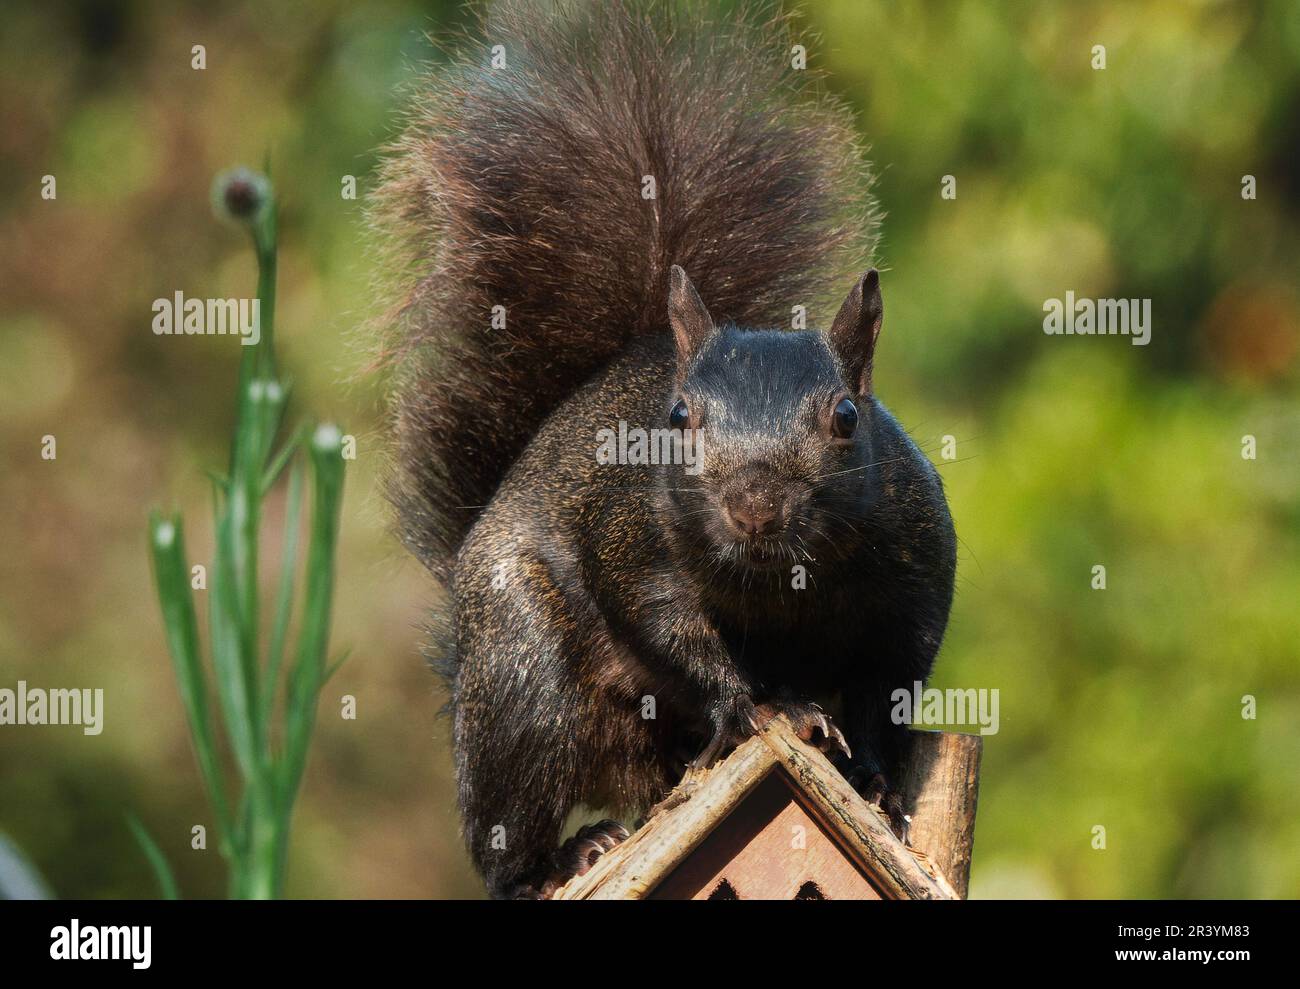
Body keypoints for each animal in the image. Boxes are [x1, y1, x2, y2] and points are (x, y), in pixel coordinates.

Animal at [374, 0, 957, 899]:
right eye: (678, 416)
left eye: (847, 417)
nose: (753, 506)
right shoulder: (632, 543)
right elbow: (671, 626)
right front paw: (763, 706)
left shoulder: (917, 573)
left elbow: (890, 689)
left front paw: (877, 787)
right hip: (520, 663)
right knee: (505, 820)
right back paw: (561, 858)